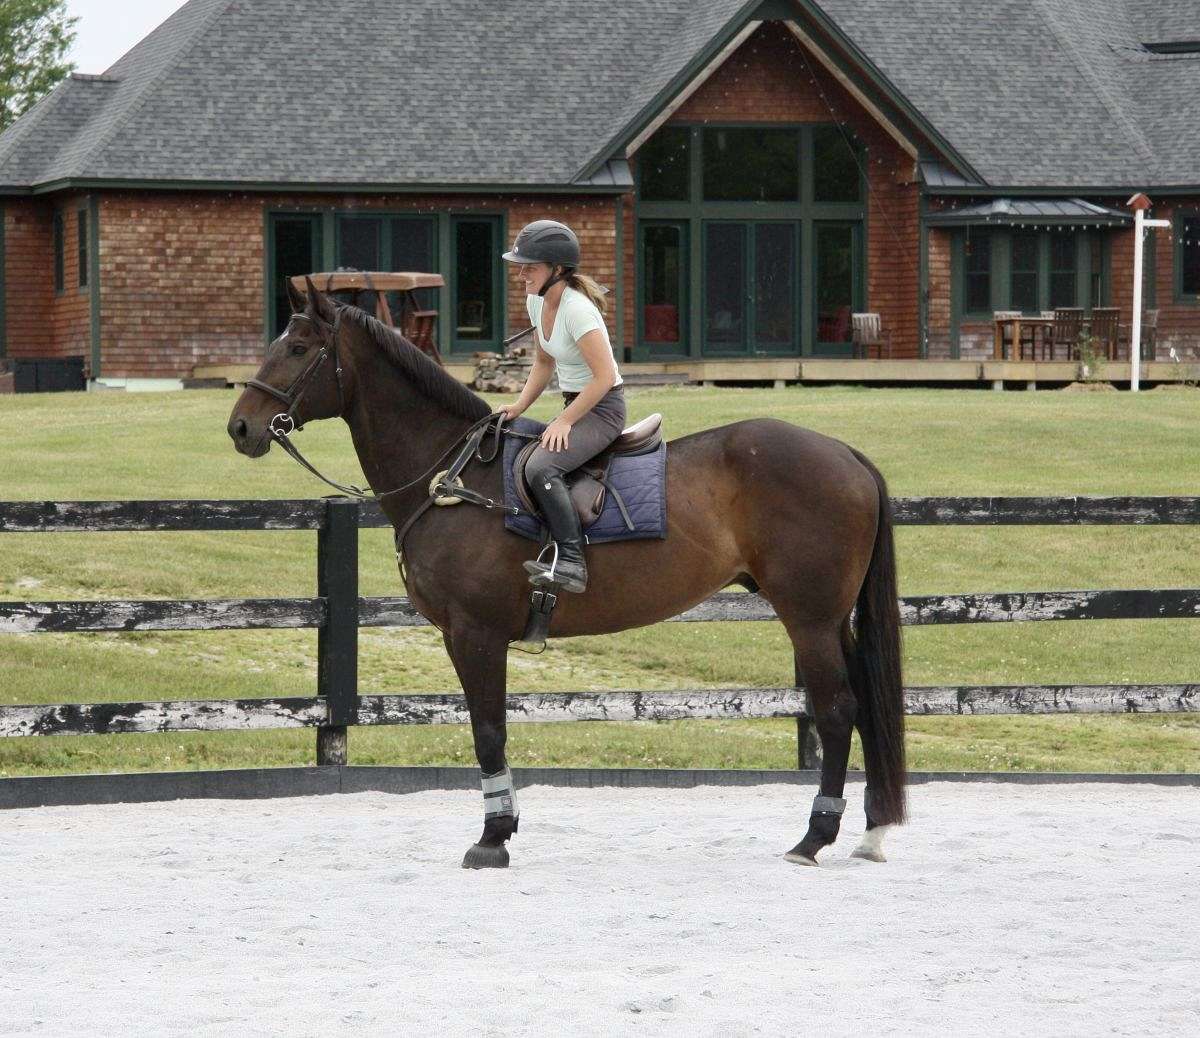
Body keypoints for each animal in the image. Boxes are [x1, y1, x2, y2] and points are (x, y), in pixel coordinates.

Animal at [227, 278, 907, 870]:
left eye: (296, 348)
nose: (240, 426)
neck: (454, 478)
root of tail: (845, 454)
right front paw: (500, 830)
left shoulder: (474, 634)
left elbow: (488, 731)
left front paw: (493, 838)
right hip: (831, 619)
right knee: (865, 707)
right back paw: (871, 833)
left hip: (809, 618)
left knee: (838, 710)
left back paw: (814, 838)